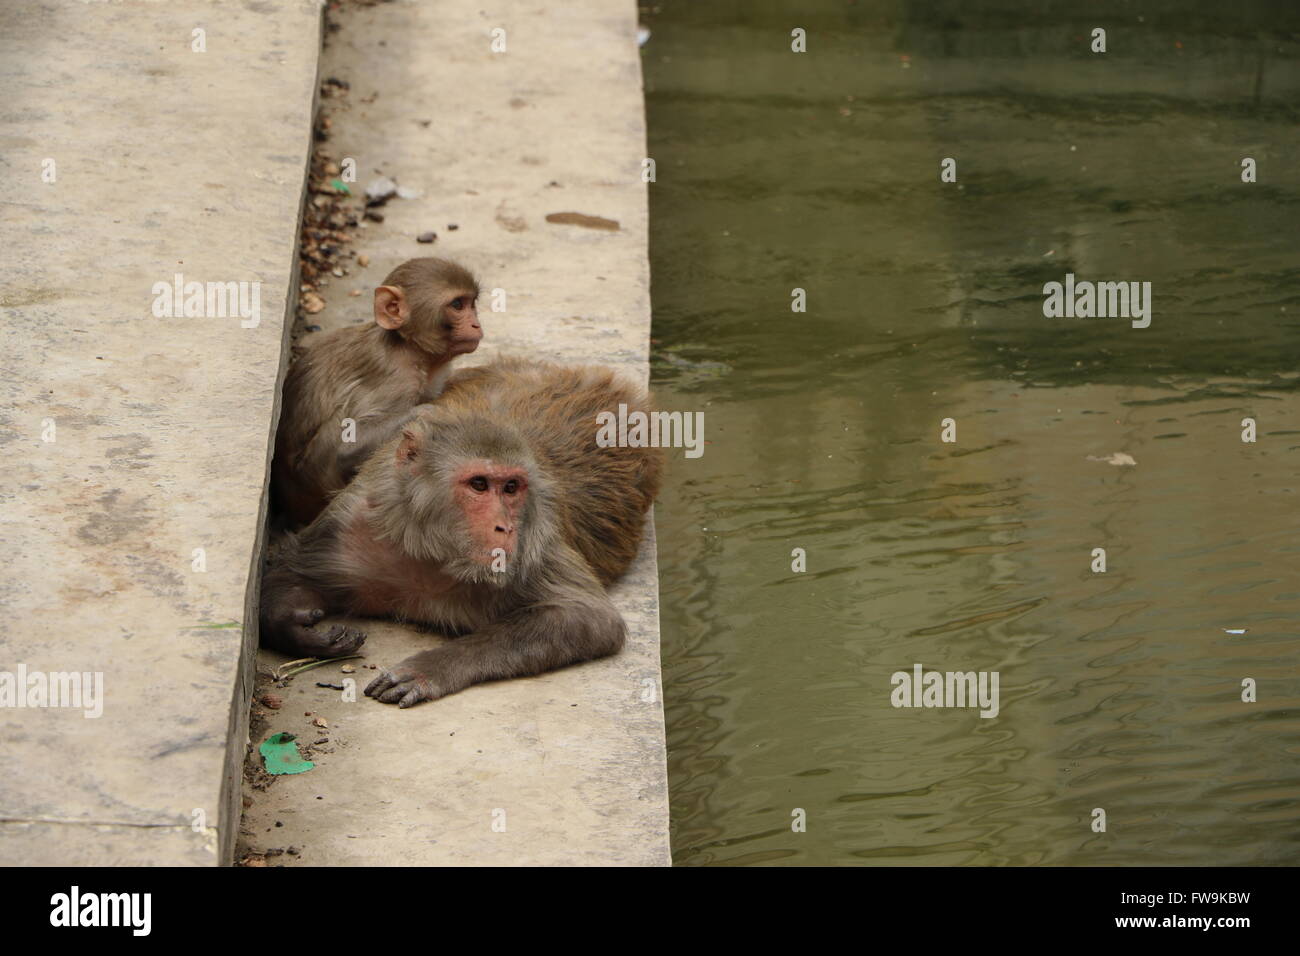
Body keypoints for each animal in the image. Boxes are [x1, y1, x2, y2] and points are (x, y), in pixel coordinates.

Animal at [258, 358, 662, 706]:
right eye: (479, 484)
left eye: (511, 488)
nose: (504, 526)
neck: (431, 553)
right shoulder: (350, 525)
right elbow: (292, 570)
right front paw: (302, 631)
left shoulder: (535, 542)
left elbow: (587, 617)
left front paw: (430, 669)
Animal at [271, 257, 482, 527]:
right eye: (457, 304)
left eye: (471, 303)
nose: (476, 323)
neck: (408, 349)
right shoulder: (395, 381)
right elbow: (344, 448)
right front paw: (431, 411)